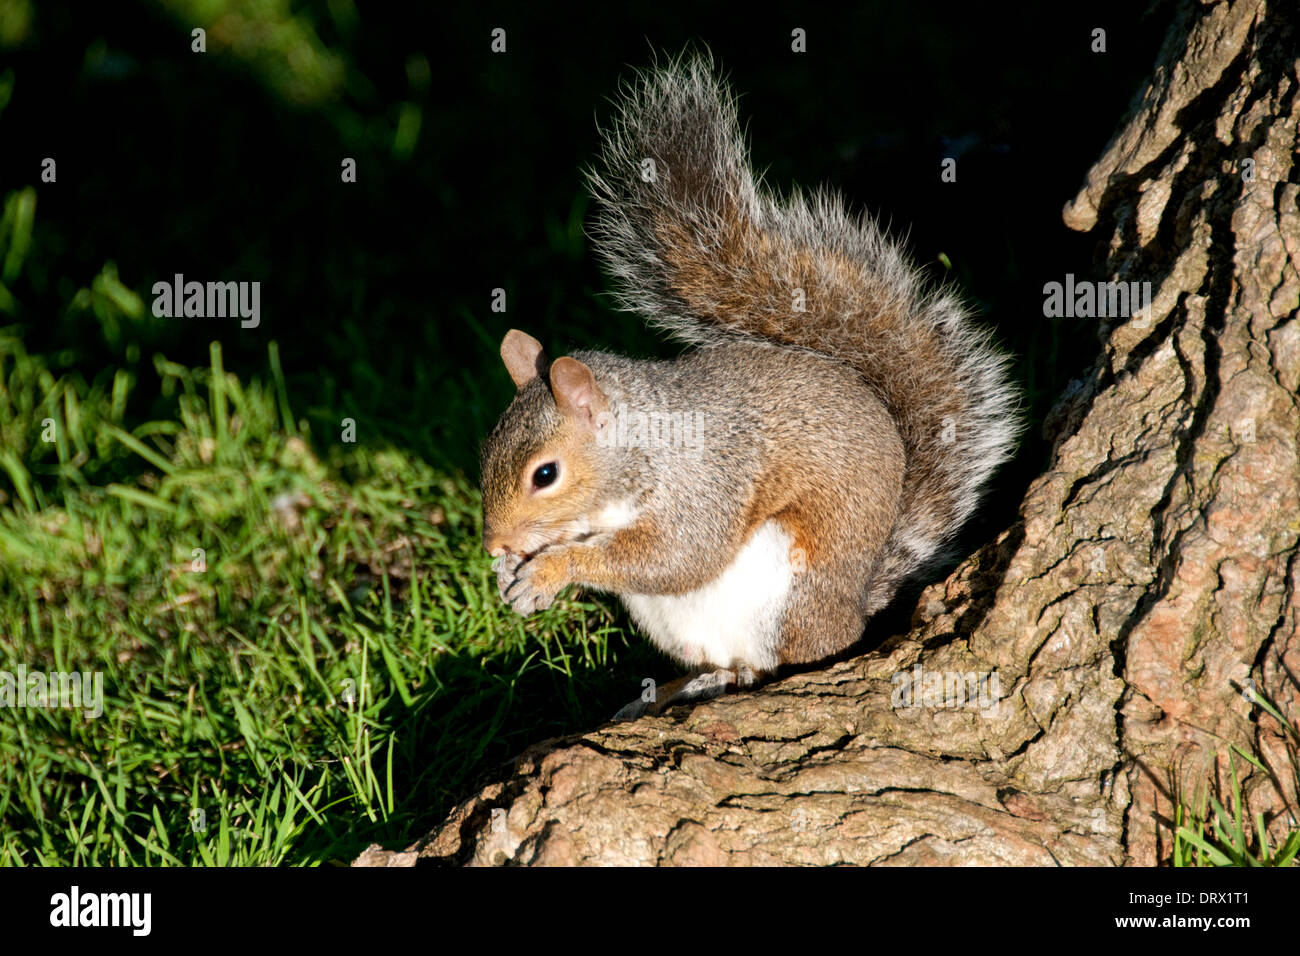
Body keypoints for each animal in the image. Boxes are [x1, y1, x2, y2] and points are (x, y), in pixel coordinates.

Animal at [480, 53, 1020, 719]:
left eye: (546, 474)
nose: (492, 544)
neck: (640, 448)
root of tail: (852, 611)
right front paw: (514, 574)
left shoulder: (701, 486)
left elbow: (675, 555)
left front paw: (551, 570)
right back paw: (679, 687)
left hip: (783, 591)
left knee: (772, 664)